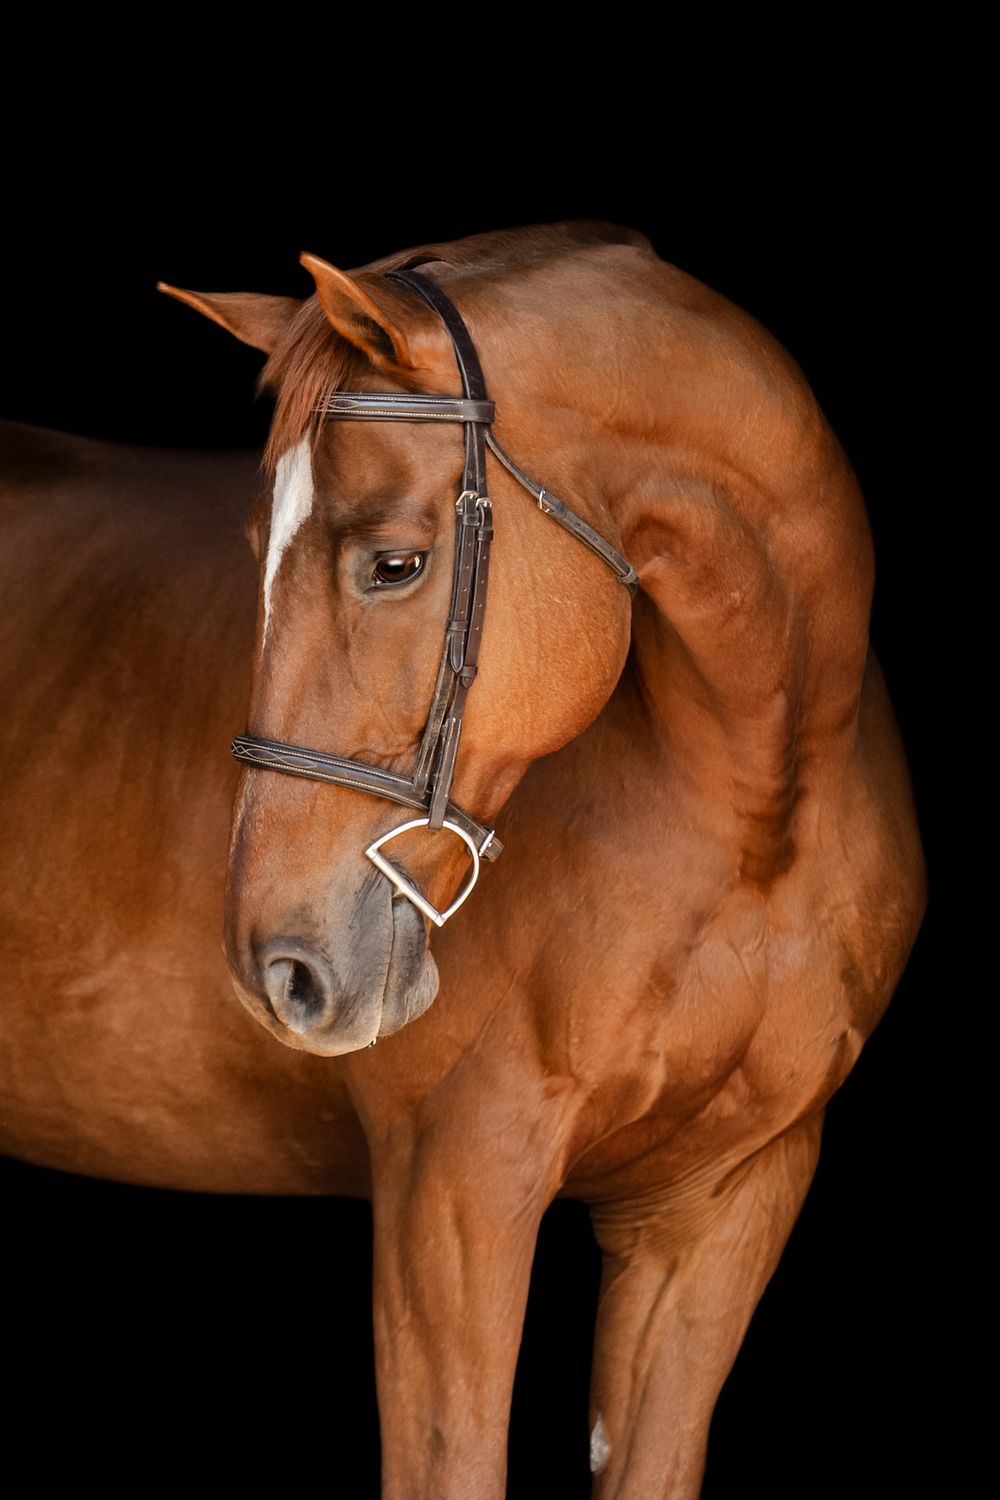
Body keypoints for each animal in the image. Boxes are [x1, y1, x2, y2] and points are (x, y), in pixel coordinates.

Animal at [0, 219, 926, 1498]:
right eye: (254, 549)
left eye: (394, 563)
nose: (278, 970)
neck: (752, 827)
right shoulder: (453, 1192)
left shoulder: (721, 1206)